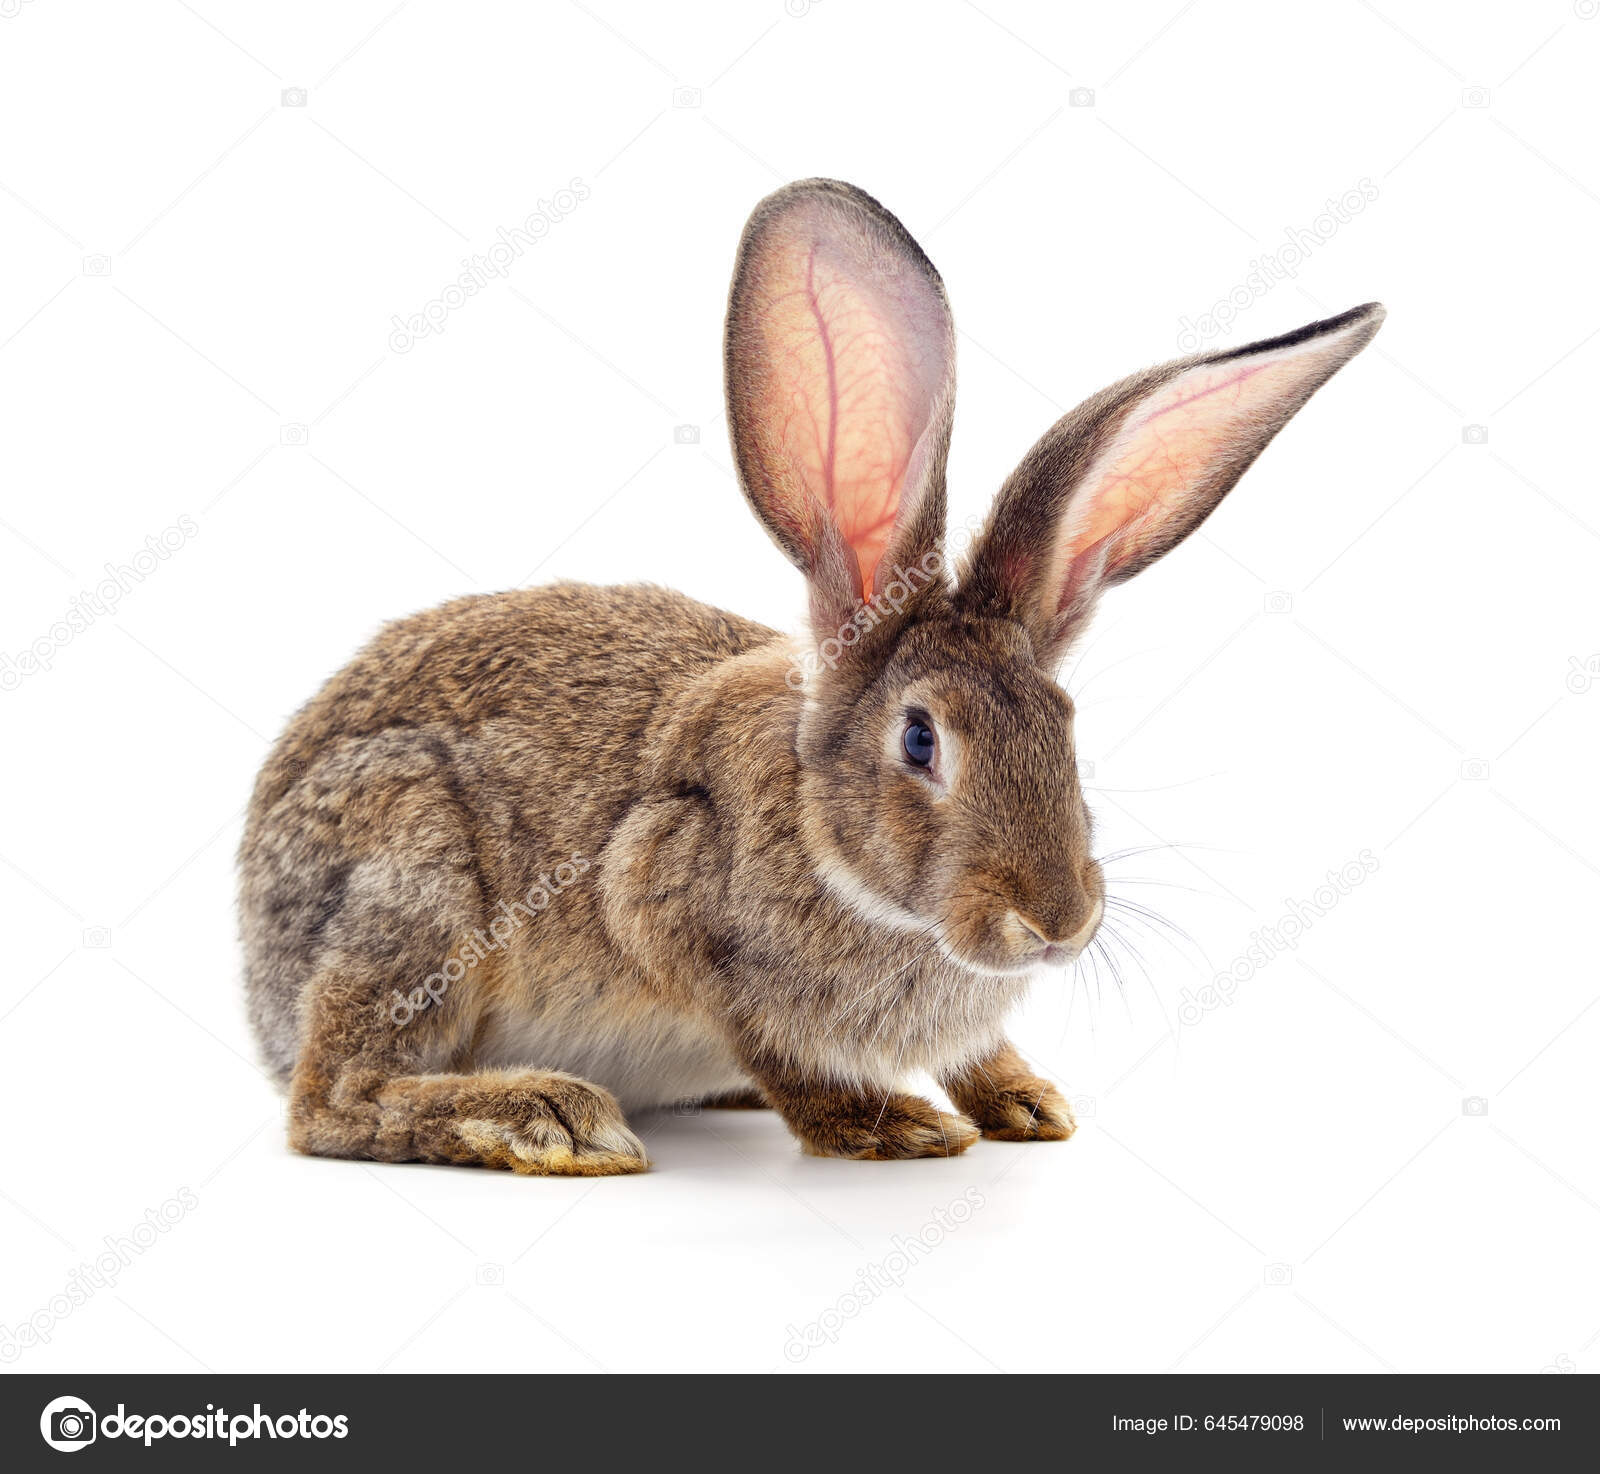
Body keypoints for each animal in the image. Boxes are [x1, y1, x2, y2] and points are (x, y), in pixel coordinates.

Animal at [239, 178, 1384, 1174]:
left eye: (1066, 727)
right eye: (920, 739)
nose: (1056, 923)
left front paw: (1024, 1102)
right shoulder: (667, 910)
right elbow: (779, 1051)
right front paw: (893, 1127)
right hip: (411, 877)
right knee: (330, 1102)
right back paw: (545, 1117)